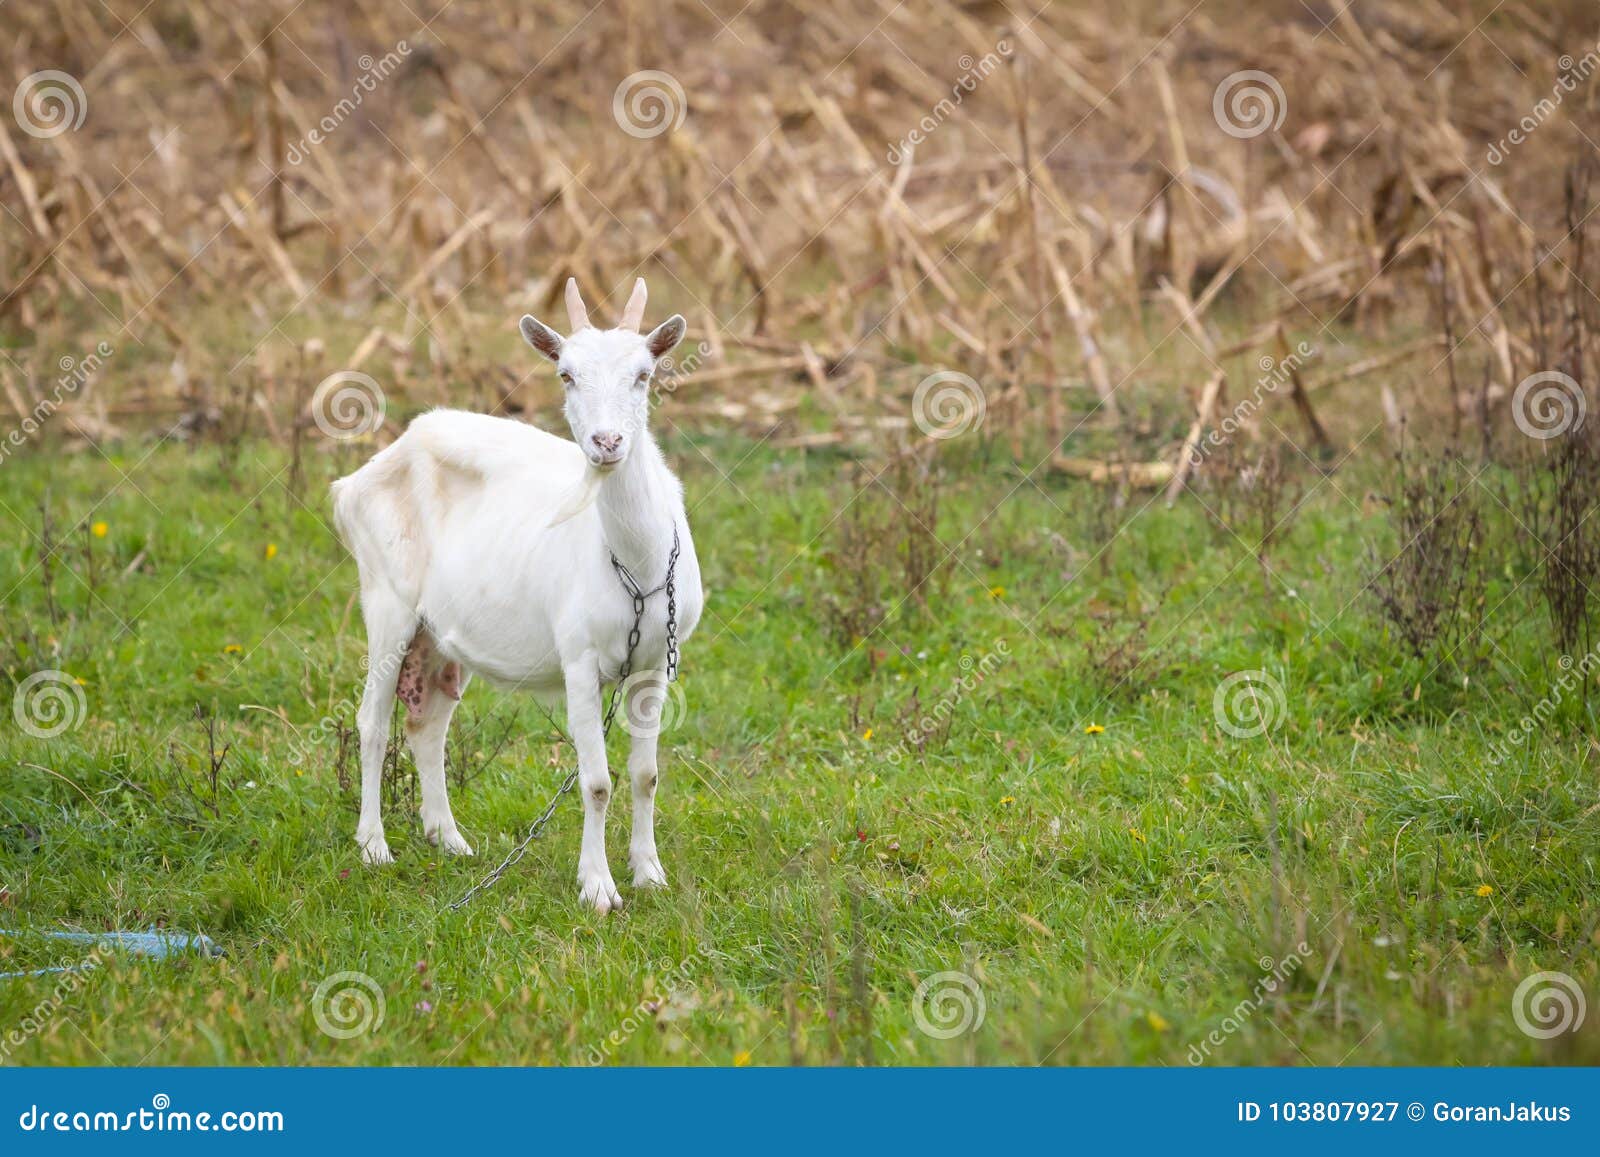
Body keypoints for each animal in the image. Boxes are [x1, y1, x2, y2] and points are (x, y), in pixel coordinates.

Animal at [329, 278, 702, 913]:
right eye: (566, 374)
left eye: (644, 373)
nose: (607, 441)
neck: (637, 565)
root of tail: (359, 478)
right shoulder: (579, 658)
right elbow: (596, 782)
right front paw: (597, 887)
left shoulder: (656, 663)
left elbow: (646, 775)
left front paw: (649, 872)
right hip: (386, 598)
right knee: (372, 721)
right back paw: (374, 845)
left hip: (436, 633)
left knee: (428, 724)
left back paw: (449, 838)